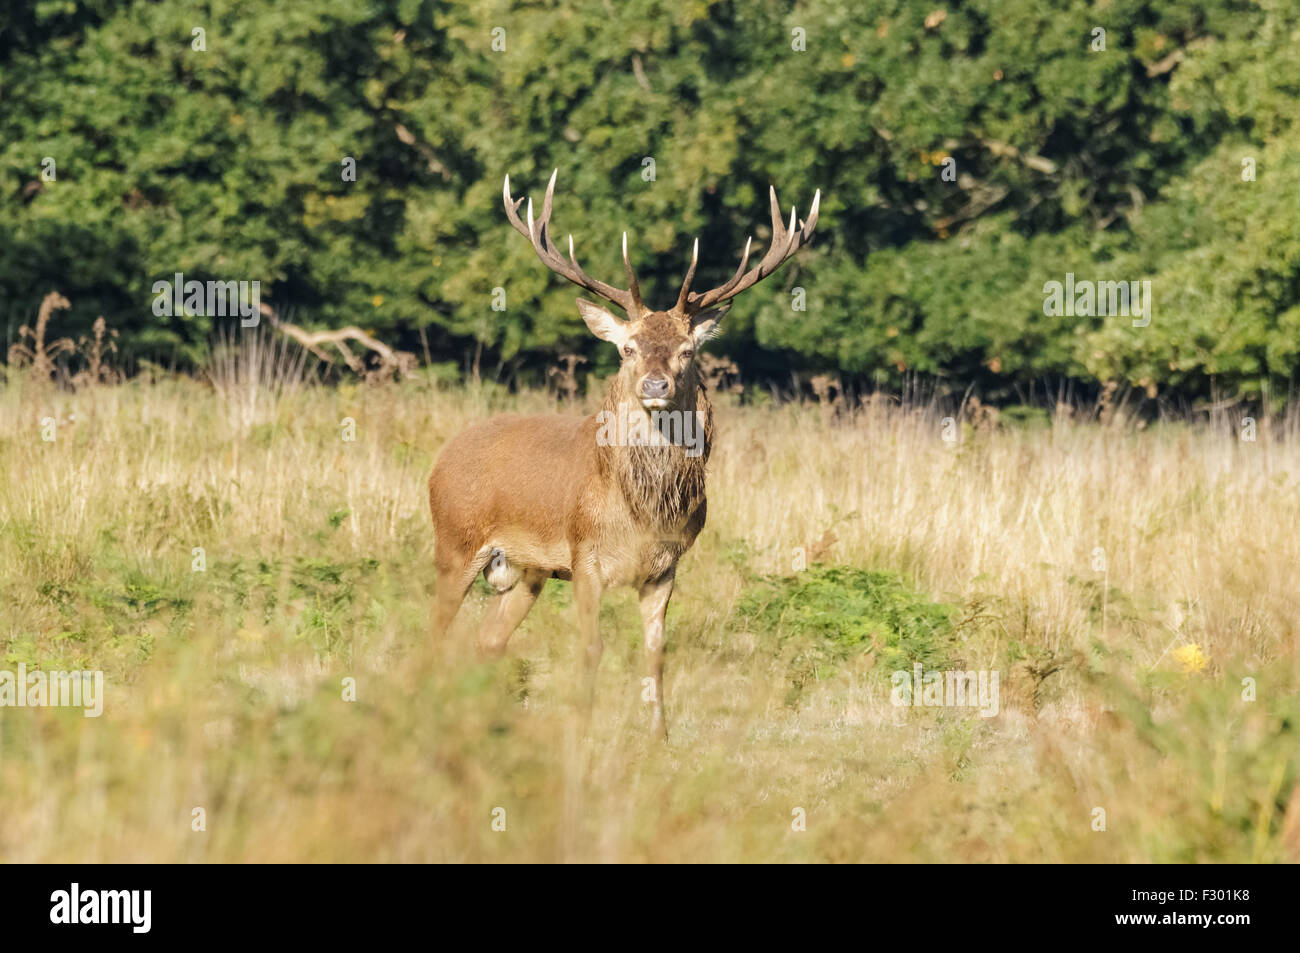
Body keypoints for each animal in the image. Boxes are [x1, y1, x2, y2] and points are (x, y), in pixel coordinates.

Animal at [428, 170, 819, 739]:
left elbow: (657, 652)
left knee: (488, 639)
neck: (640, 513)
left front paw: (659, 736)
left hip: (525, 571)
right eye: (627, 347)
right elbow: (592, 648)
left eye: (687, 350)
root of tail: (439, 460)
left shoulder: (665, 567)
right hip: (455, 542)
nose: (656, 384)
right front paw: (583, 729)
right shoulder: (584, 558)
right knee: (434, 630)